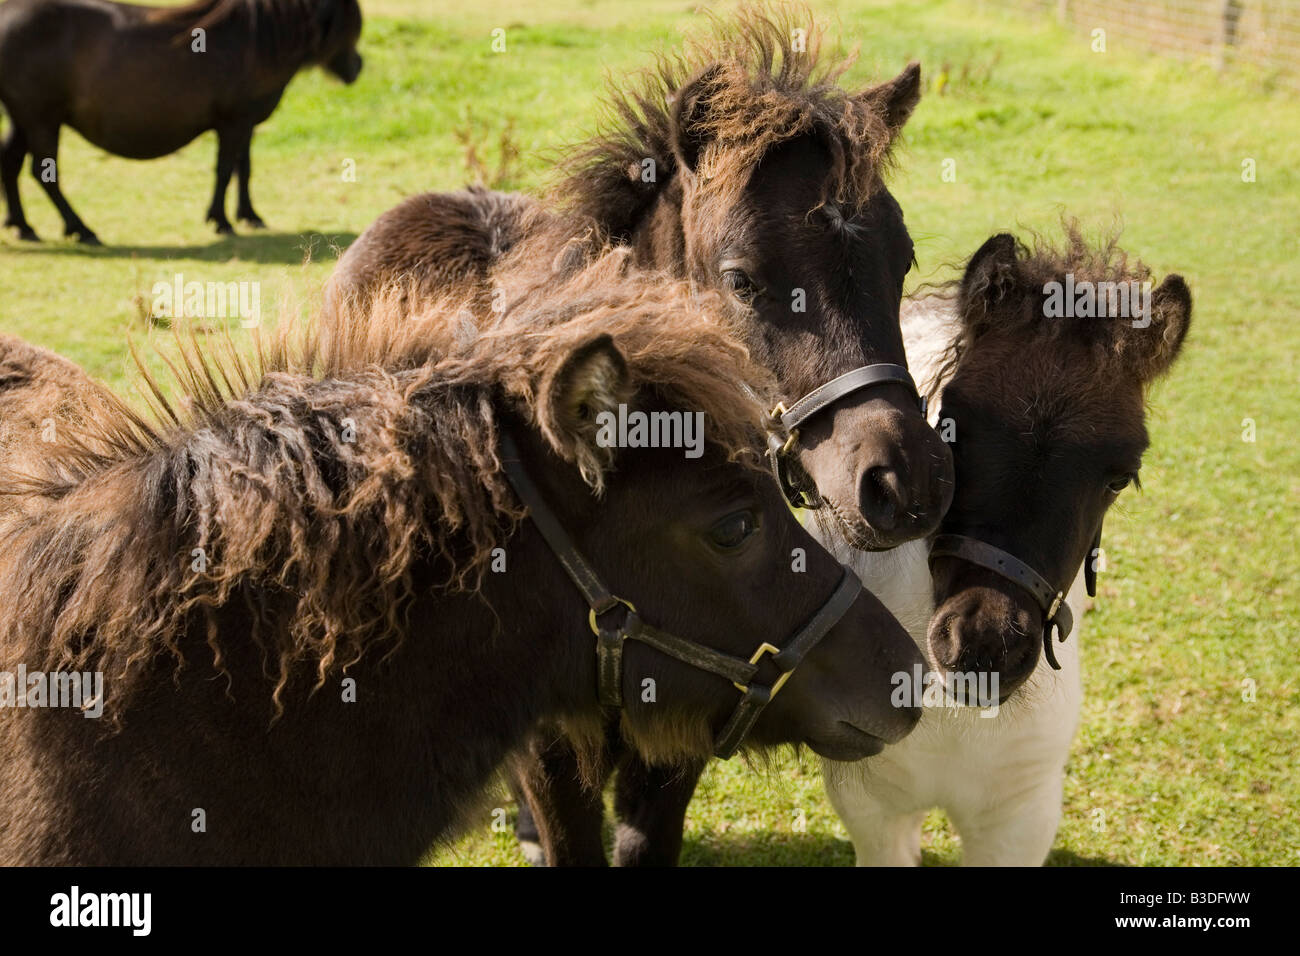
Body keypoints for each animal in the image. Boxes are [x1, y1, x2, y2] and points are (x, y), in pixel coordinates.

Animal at [0, 0, 362, 244]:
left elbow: (244, 168)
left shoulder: (245, 122)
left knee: (11, 164)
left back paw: (23, 226)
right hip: (41, 119)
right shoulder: (234, 122)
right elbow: (225, 169)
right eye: (353, 23)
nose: (358, 67)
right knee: (43, 173)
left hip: (25, 119)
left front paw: (249, 216)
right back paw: (81, 228)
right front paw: (221, 220)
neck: (256, 40)